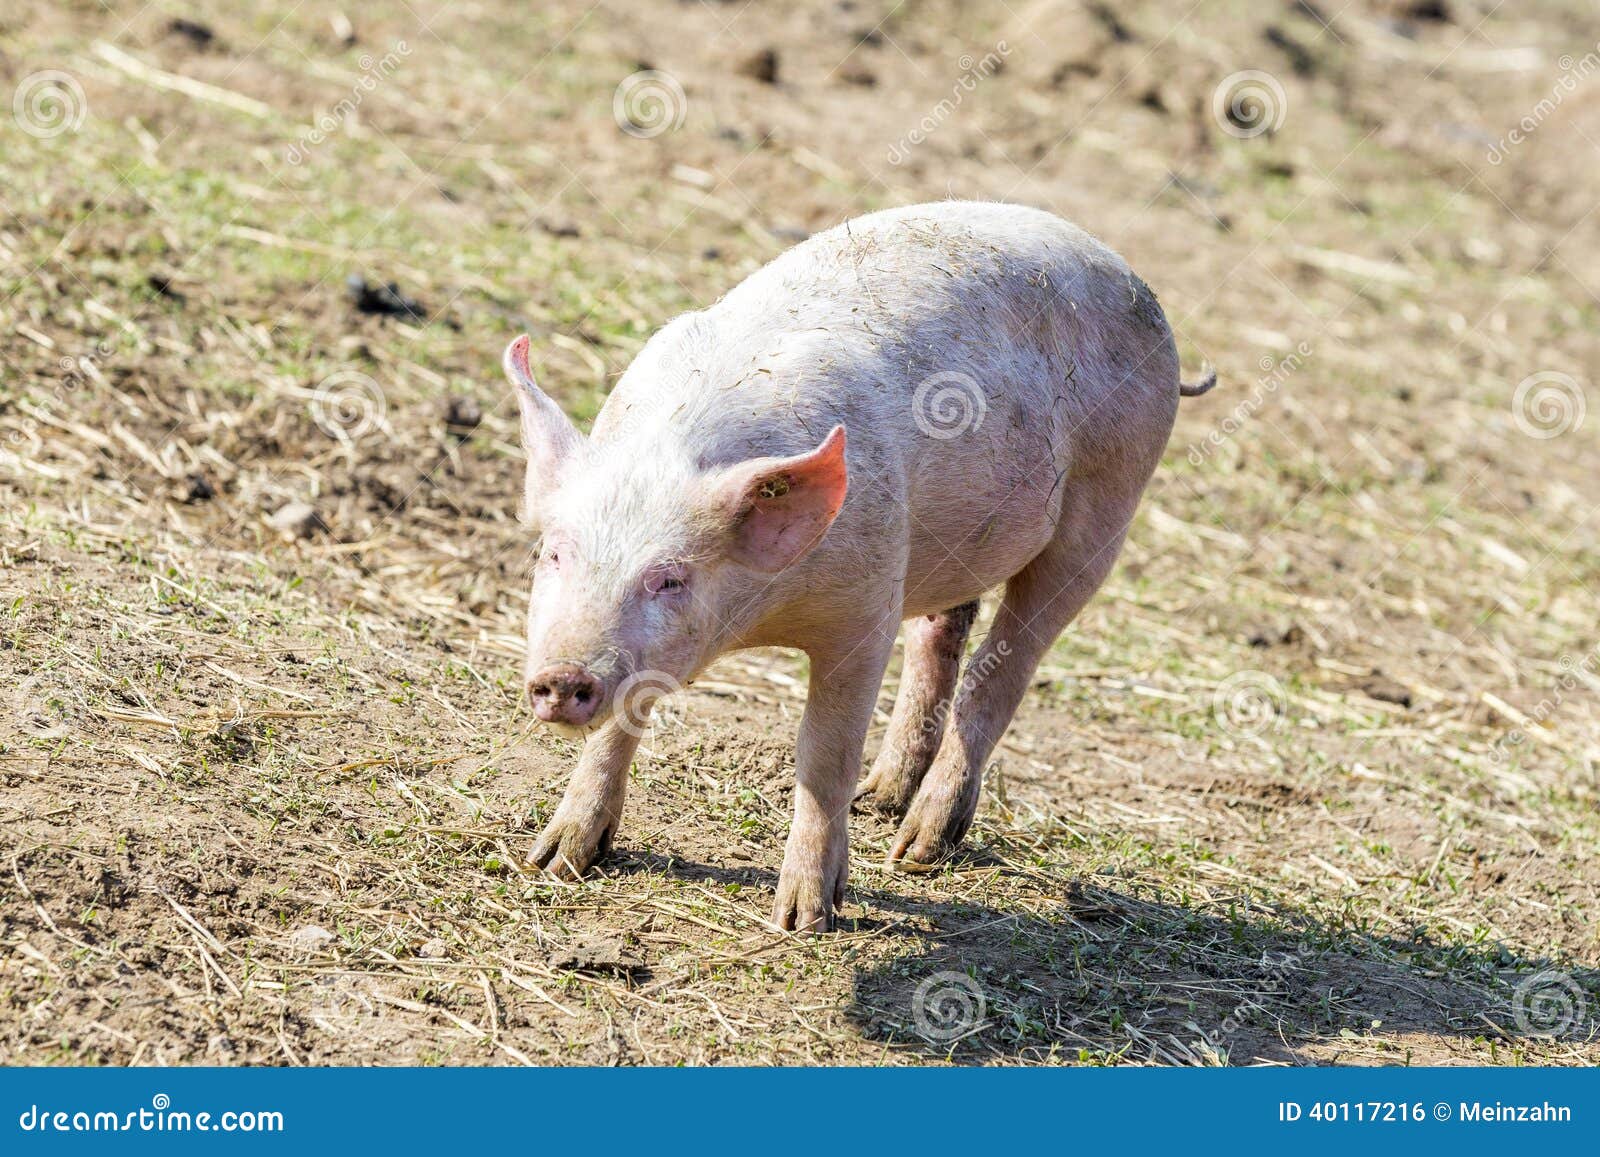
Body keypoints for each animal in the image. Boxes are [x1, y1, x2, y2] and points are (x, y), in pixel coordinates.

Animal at [505, 200, 1215, 932]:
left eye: (671, 578)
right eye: (553, 553)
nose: (562, 677)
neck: (757, 618)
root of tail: (1134, 282)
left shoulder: (866, 608)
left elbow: (824, 754)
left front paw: (804, 919)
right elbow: (618, 726)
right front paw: (552, 861)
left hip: (1109, 502)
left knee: (1009, 663)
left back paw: (916, 850)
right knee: (945, 630)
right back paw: (879, 801)